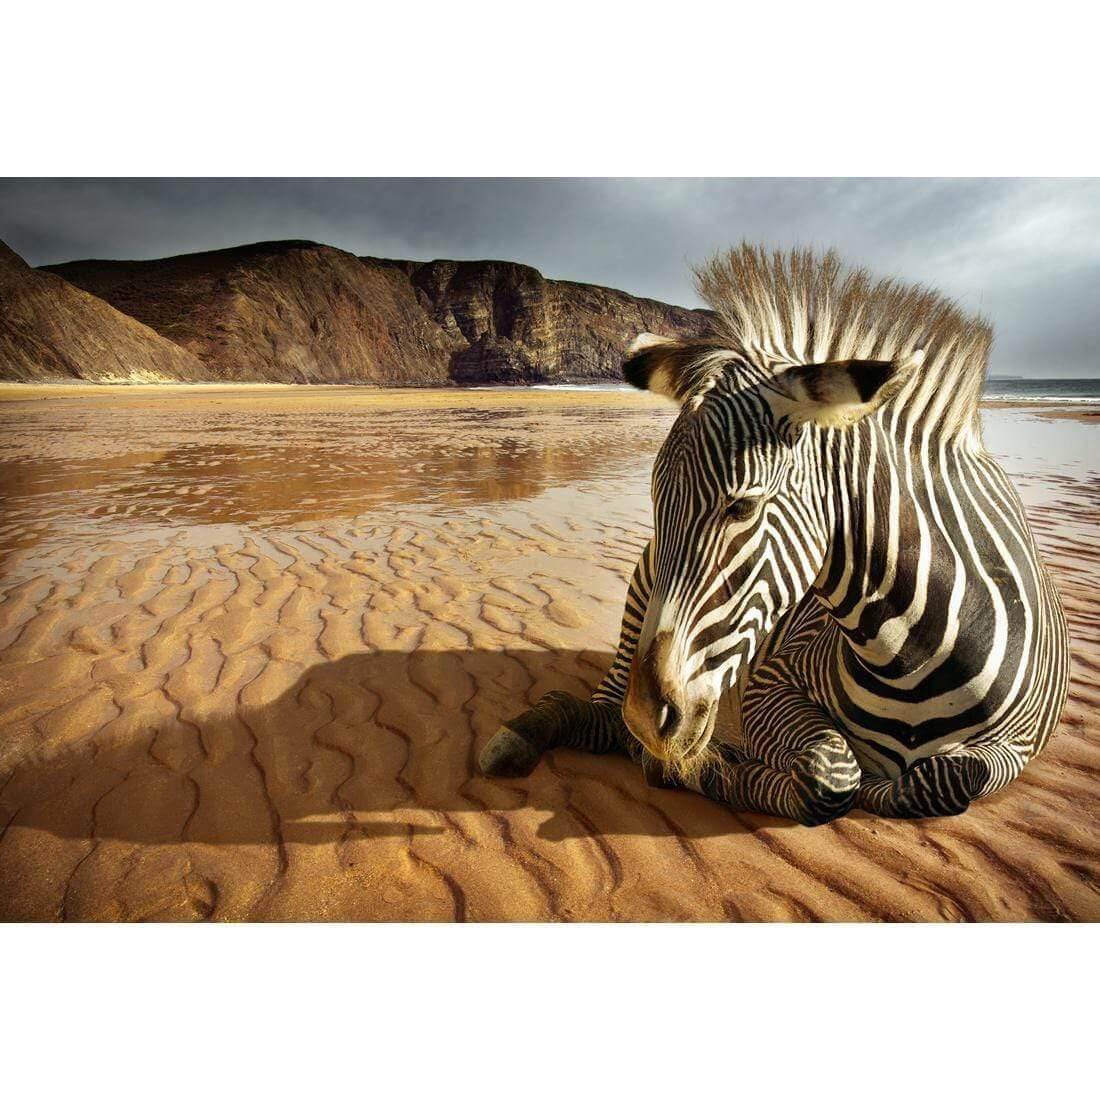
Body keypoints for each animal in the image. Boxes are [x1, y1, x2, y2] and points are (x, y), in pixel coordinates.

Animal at [479, 245, 1070, 825]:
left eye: (742, 506)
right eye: (656, 501)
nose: (649, 719)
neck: (914, 658)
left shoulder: (1019, 746)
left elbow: (944, 779)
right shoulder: (772, 683)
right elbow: (832, 777)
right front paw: (702, 769)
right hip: (641, 599)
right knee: (602, 714)